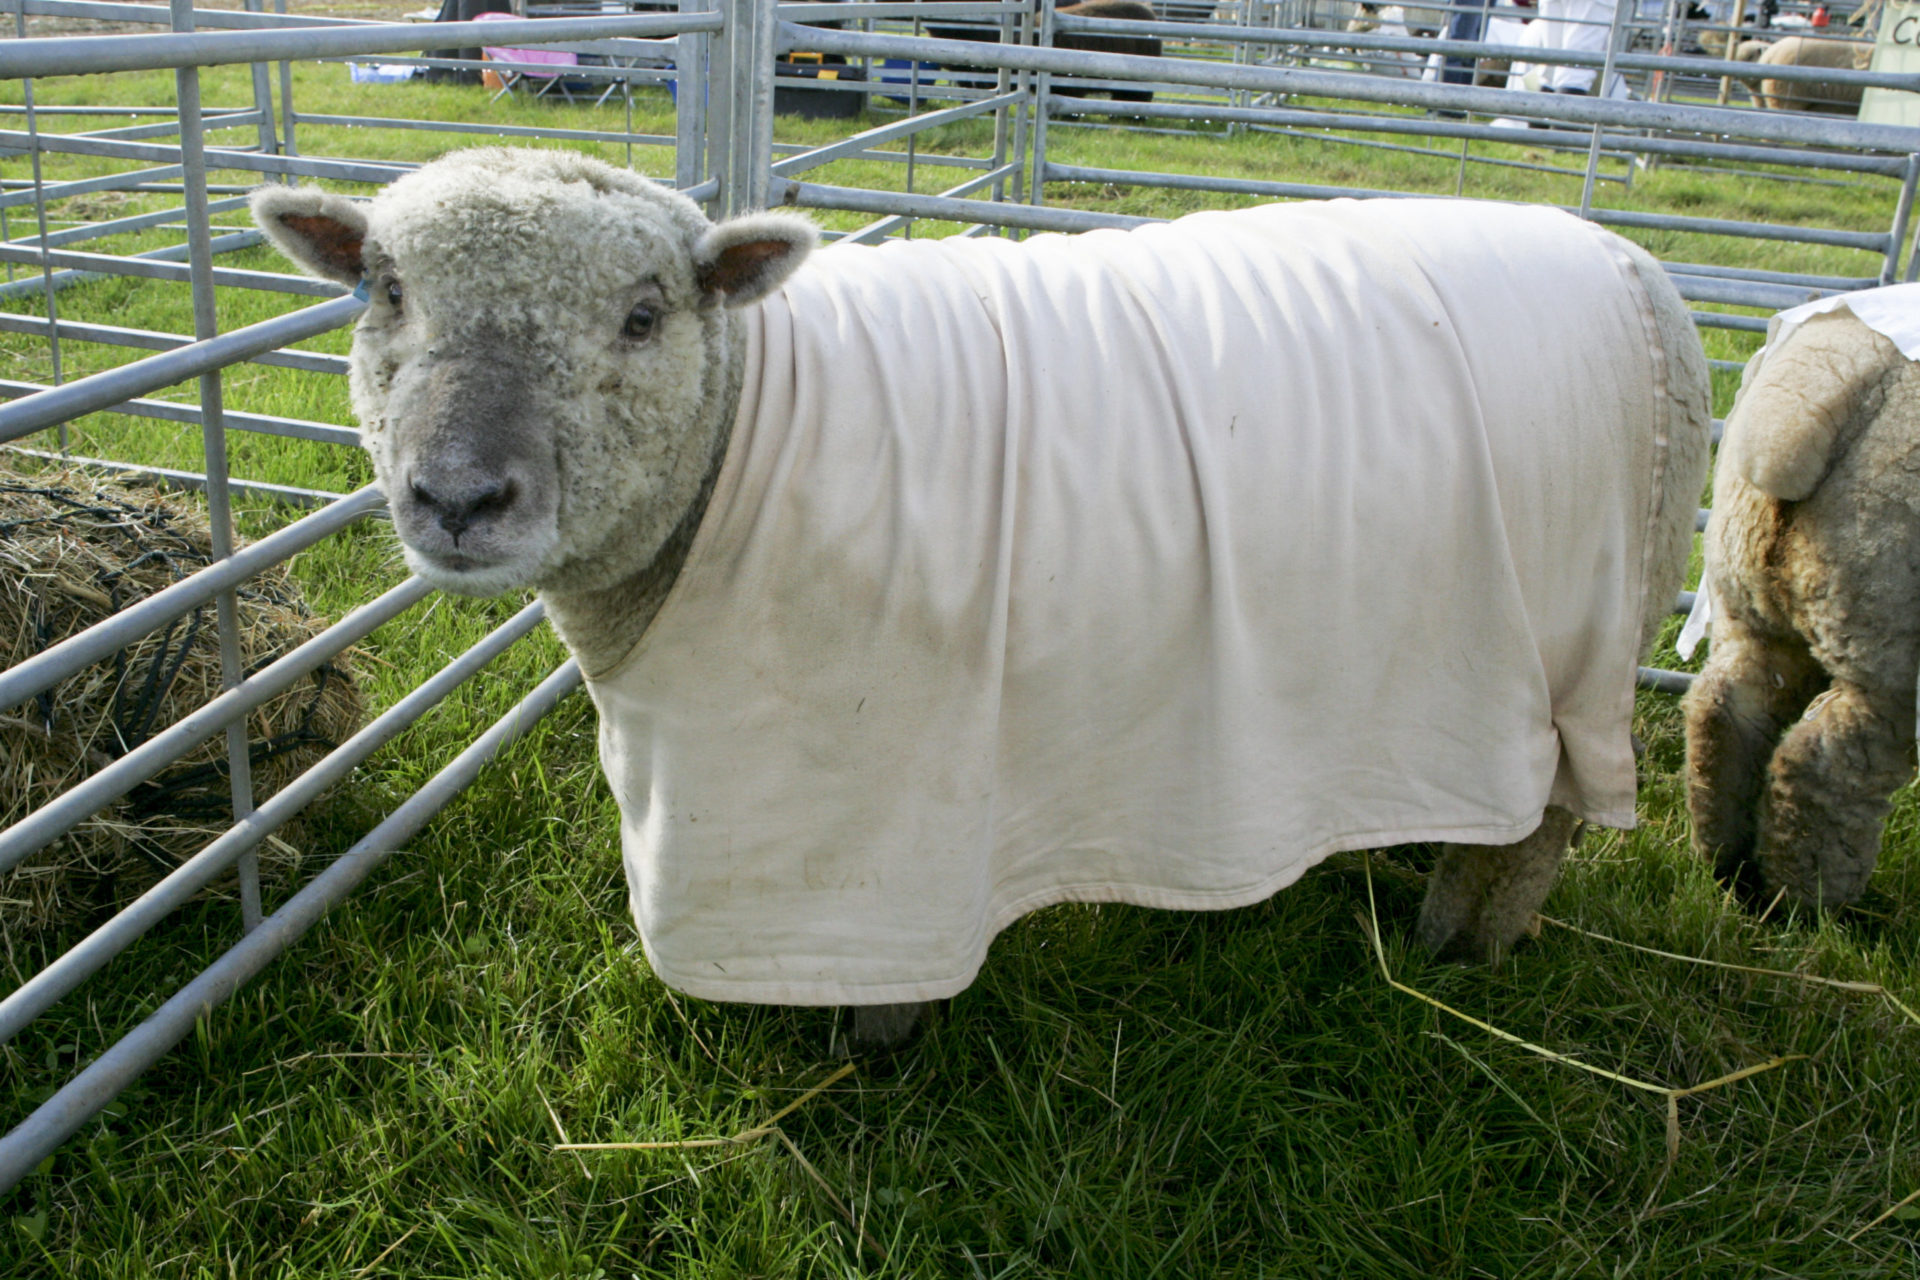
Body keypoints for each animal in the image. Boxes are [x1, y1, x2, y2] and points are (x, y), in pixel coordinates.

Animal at [251, 147, 1711, 1045]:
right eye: (384, 290)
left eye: (645, 316)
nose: (456, 496)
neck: (739, 431)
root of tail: (1638, 269)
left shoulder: (887, 787)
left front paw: (875, 1050)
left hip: (1587, 635)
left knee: (1544, 829)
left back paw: (1463, 946)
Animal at [1683, 298, 1920, 910]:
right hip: (1890, 658)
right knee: (1822, 769)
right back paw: (1812, 902)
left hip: (1752, 597)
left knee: (1726, 710)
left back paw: (1729, 865)